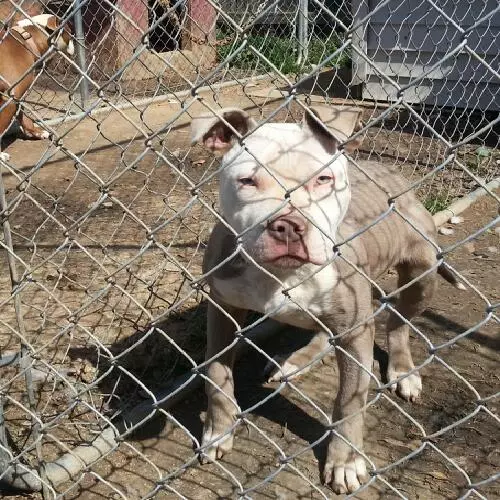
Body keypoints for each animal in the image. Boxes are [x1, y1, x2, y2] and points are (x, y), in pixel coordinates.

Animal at [0, 13, 74, 162]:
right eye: (70, 32)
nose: (76, 39)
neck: (27, 40)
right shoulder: (8, 100)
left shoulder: (17, 97)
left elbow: (24, 116)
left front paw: (36, 133)